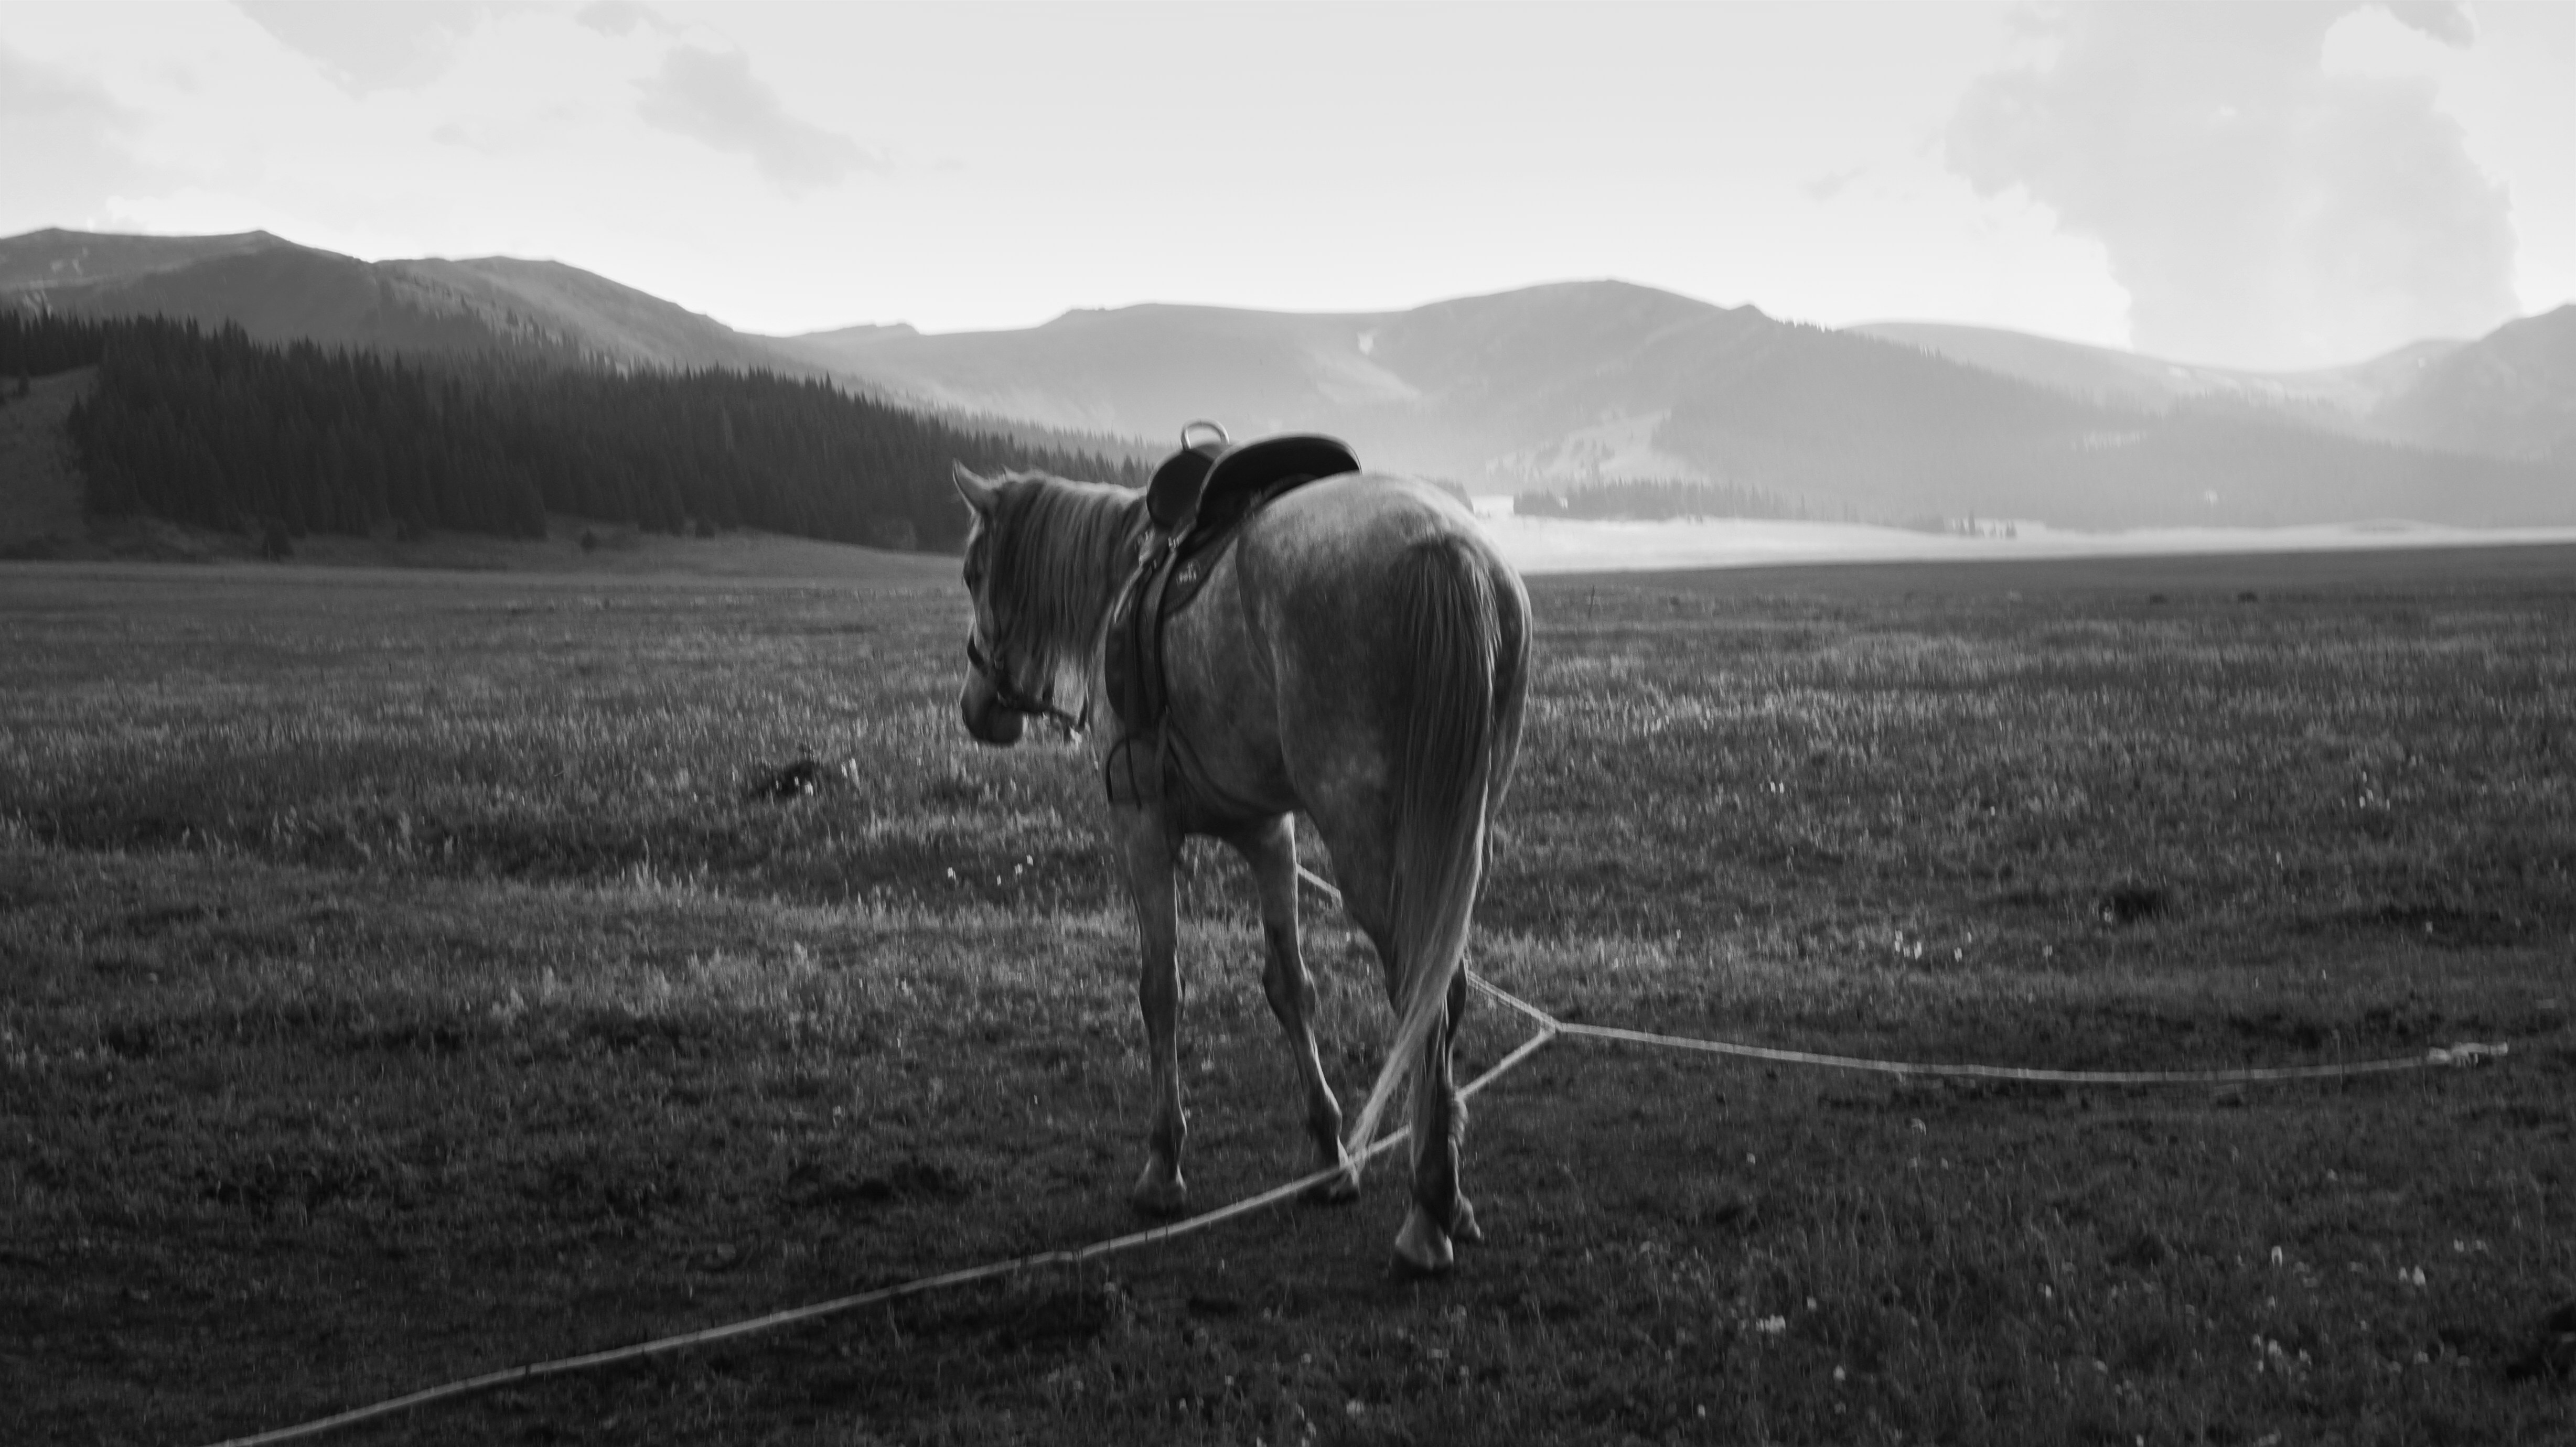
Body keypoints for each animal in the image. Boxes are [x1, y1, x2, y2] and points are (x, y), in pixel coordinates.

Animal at [949, 457, 1530, 1275]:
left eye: (974, 573)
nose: (978, 709)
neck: (1121, 583)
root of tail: (1446, 549)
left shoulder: (1141, 828)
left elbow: (1160, 991)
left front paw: (1164, 1166)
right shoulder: (1269, 835)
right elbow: (1290, 987)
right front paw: (1329, 1155)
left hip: (1370, 843)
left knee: (1424, 990)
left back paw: (1427, 1213)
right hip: (1456, 834)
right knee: (1442, 988)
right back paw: (1449, 1195)